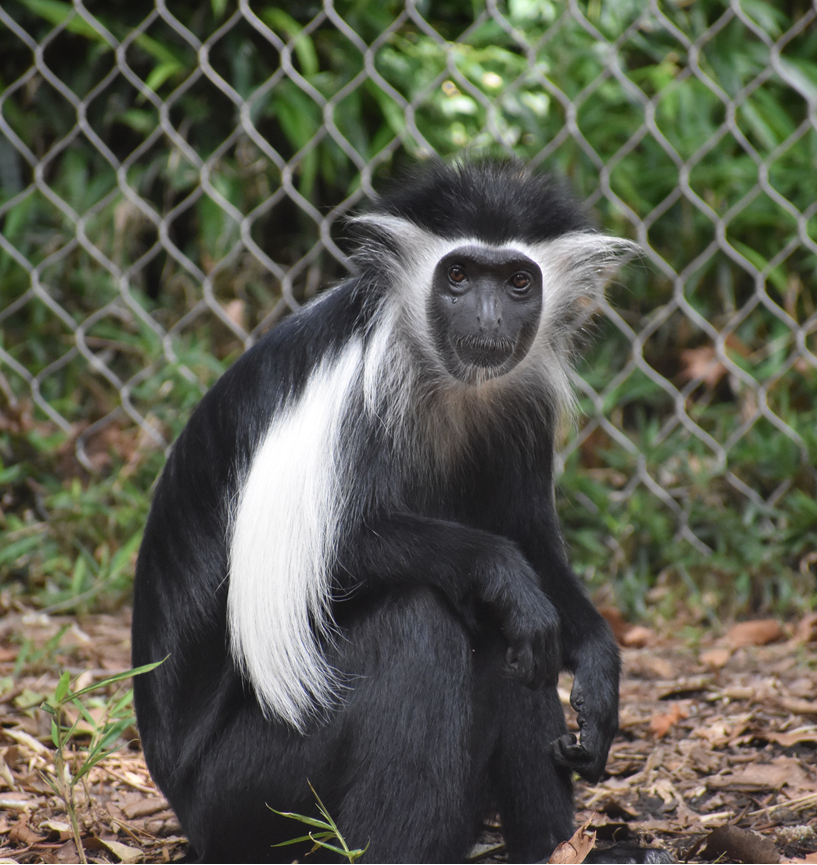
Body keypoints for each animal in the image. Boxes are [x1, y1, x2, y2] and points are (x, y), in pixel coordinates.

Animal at [132, 160, 673, 864]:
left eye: (518, 281)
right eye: (459, 275)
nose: (488, 319)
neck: (445, 378)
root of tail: (177, 794)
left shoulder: (522, 407)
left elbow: (533, 545)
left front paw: (599, 665)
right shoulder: (354, 387)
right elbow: (330, 562)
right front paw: (503, 572)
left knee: (511, 647)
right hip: (245, 794)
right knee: (417, 627)